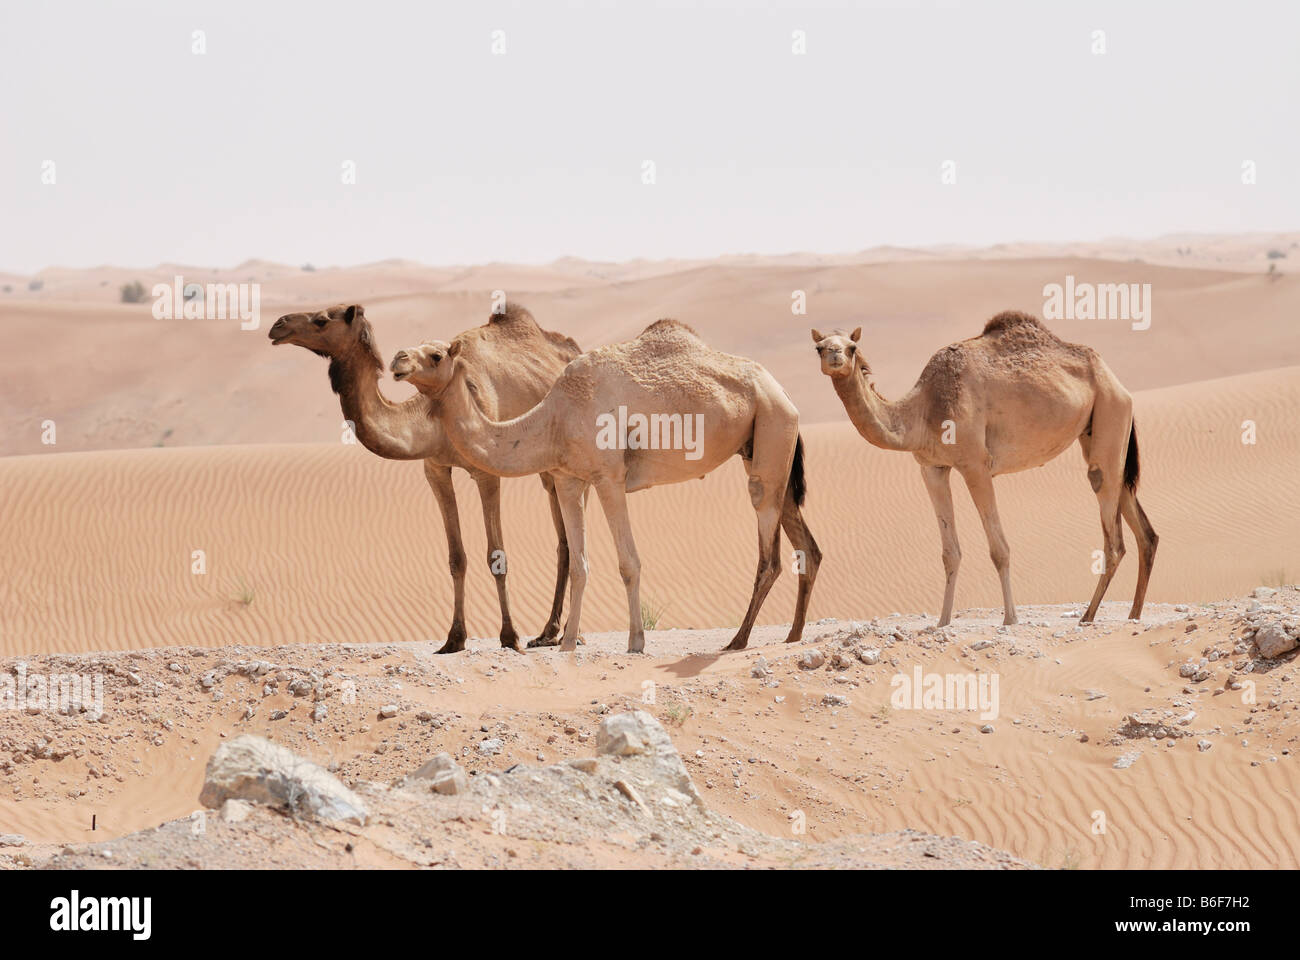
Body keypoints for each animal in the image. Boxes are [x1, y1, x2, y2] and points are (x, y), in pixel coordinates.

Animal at [268, 302, 581, 653]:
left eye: (322, 320)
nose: (278, 325)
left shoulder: (486, 472)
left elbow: (496, 556)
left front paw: (509, 636)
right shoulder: (435, 470)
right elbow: (456, 557)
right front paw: (454, 639)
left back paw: (570, 635)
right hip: (548, 469)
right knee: (564, 540)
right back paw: (547, 633)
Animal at [390, 318, 822, 653]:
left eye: (436, 355)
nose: (398, 359)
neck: (555, 417)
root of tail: (784, 393)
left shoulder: (609, 477)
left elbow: (628, 562)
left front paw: (636, 641)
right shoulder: (568, 478)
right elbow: (579, 562)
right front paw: (566, 643)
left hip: (771, 427)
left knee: (769, 550)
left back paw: (738, 640)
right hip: (763, 446)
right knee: (805, 545)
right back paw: (792, 636)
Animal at [811, 311, 1157, 627]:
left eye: (852, 346)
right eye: (819, 347)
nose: (835, 356)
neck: (922, 410)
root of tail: (1116, 381)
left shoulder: (975, 464)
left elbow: (999, 549)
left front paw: (1010, 618)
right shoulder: (932, 468)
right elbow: (949, 552)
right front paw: (942, 622)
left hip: (1110, 411)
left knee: (1112, 533)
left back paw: (1088, 615)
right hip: (1100, 429)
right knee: (1144, 529)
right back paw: (1134, 614)